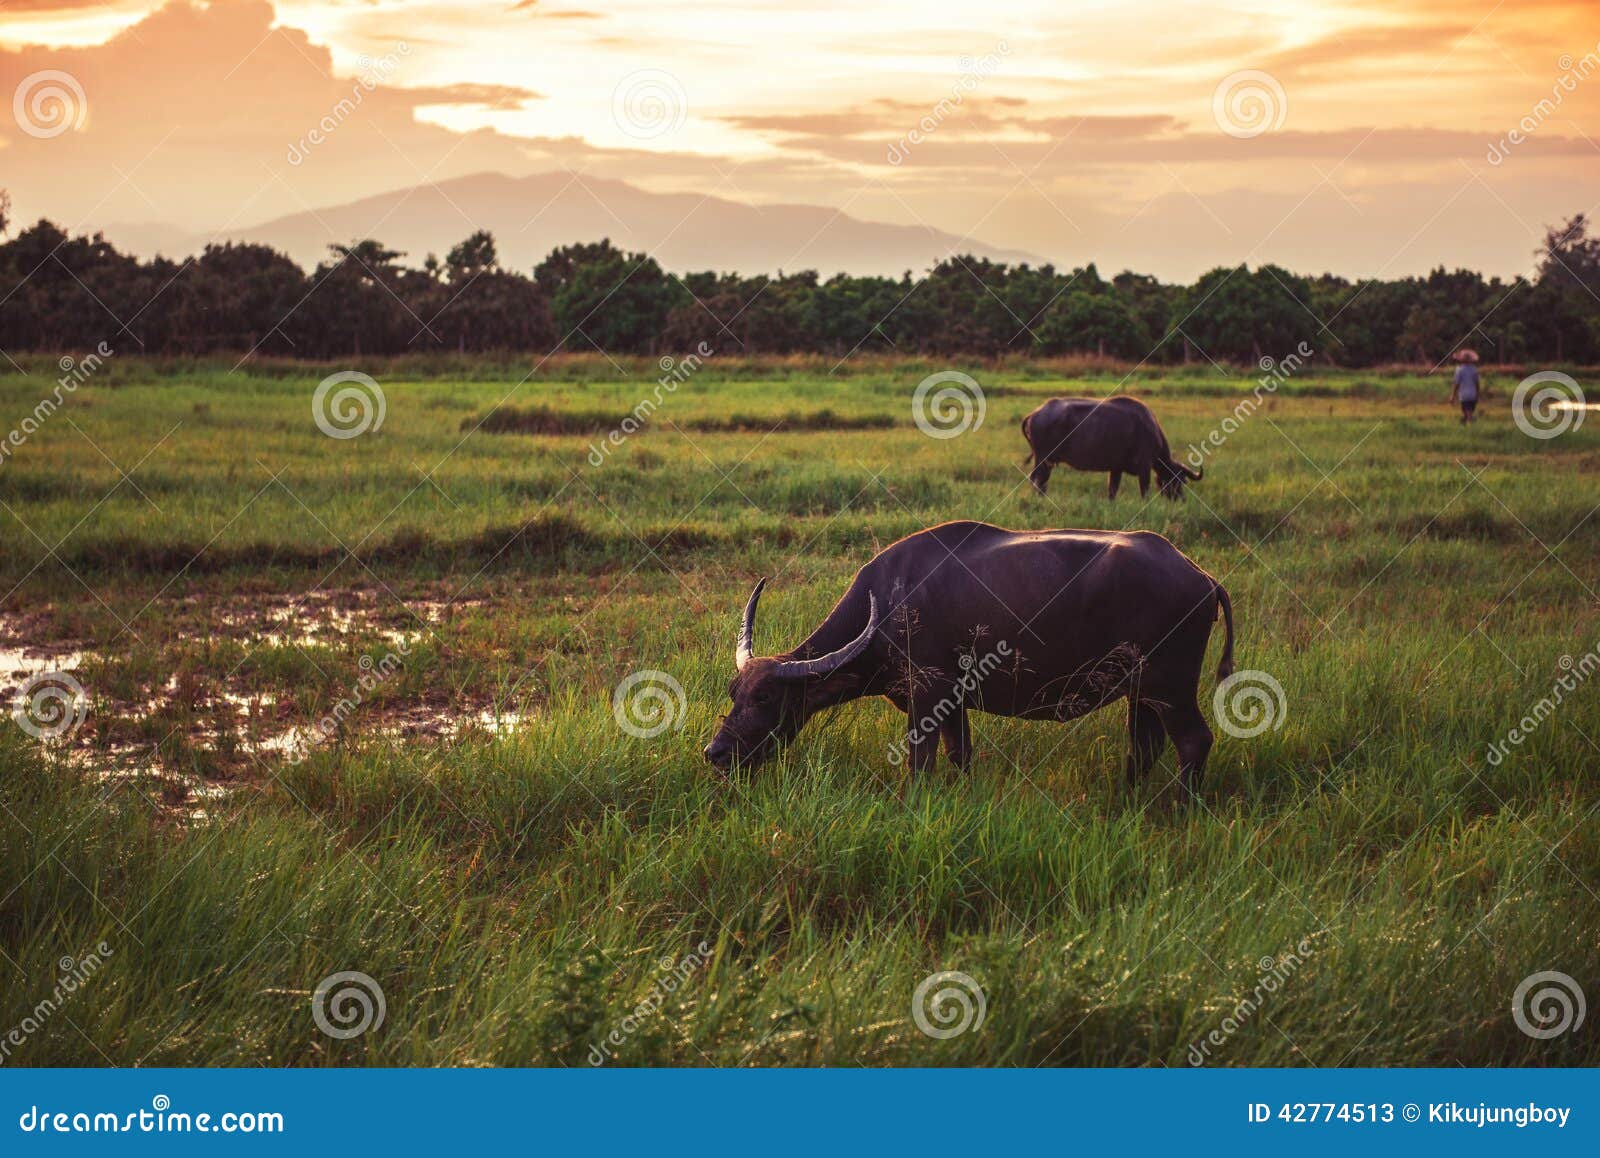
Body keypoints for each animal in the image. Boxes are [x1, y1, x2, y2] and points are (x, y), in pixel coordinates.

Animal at [704, 520, 1235, 801]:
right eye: (734, 692)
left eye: (767, 696)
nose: (716, 753)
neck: (890, 605)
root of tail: (1202, 577)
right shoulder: (954, 705)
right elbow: (961, 756)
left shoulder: (926, 698)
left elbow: (920, 762)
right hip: (1141, 693)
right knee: (1143, 747)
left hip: (1170, 688)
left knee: (1194, 741)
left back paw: (1179, 808)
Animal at [1022, 396, 1201, 499]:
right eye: (1179, 480)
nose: (1181, 499)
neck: (1150, 428)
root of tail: (1036, 412)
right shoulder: (1144, 468)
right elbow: (1144, 492)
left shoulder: (1116, 469)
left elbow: (1112, 491)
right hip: (1043, 460)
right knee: (1037, 480)